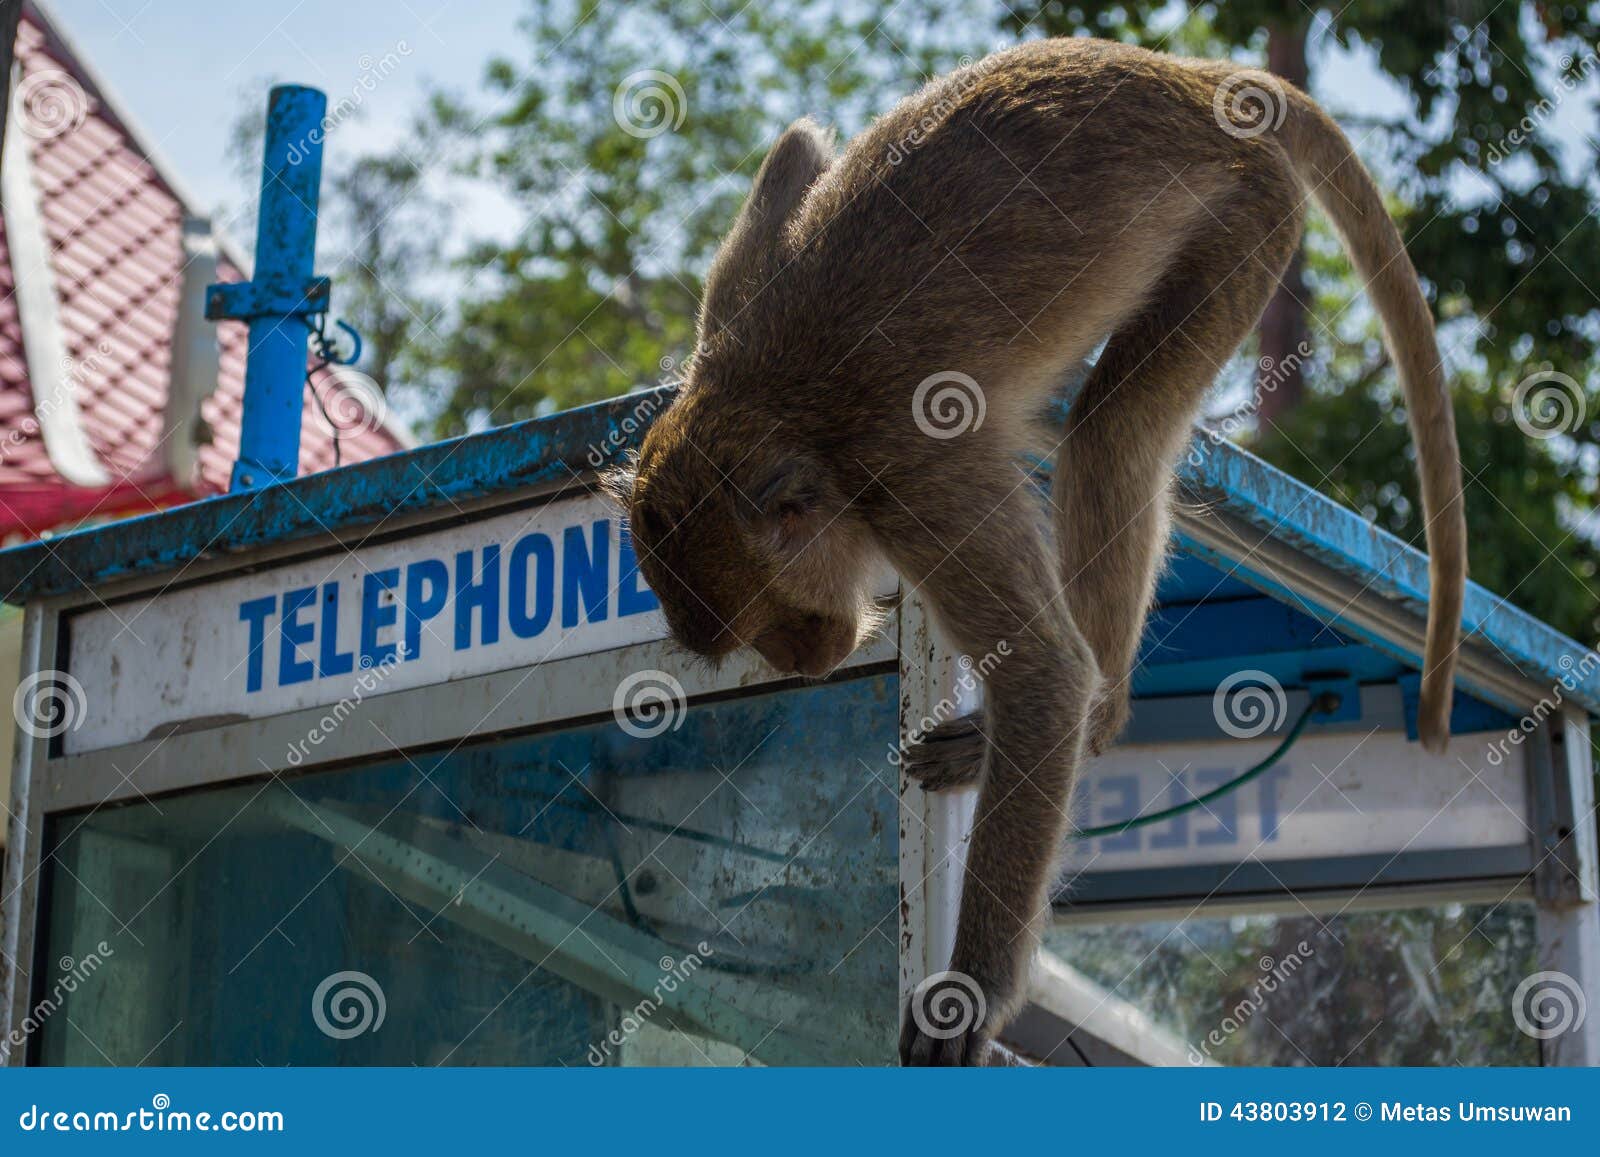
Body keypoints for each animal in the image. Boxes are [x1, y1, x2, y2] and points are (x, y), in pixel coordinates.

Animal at [605, 37, 1465, 1065]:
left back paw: (1098, 714)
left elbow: (1048, 674)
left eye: (778, 618)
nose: (803, 660)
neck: (784, 415)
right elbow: (798, 154)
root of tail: (1191, 77)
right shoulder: (730, 322)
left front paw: (965, 997)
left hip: (1246, 215)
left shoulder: (916, 487)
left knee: (1110, 431)